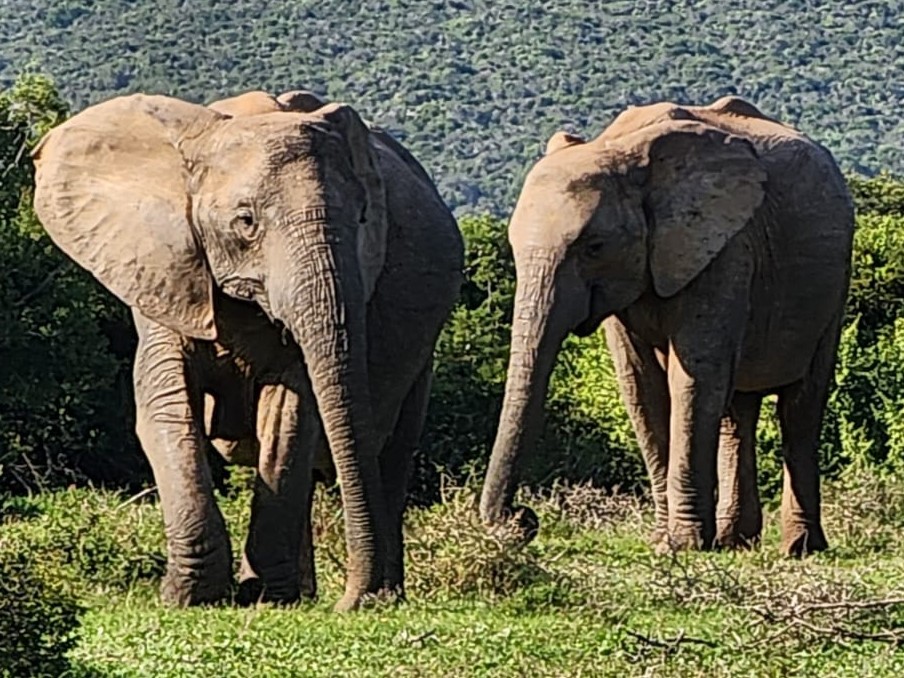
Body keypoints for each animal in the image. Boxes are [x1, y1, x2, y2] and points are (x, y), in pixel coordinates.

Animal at [32, 88, 463, 610]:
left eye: (363, 219)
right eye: (246, 221)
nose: (353, 600)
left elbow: (288, 416)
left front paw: (261, 596)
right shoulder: (165, 274)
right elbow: (165, 407)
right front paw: (190, 596)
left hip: (424, 354)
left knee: (390, 453)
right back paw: (319, 594)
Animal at [479, 96, 854, 557]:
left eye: (594, 247)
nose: (523, 520)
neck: (621, 152)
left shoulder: (724, 248)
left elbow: (691, 377)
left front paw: (685, 545)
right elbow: (641, 386)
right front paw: (664, 542)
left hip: (833, 287)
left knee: (800, 409)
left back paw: (799, 548)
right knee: (736, 412)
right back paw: (735, 541)